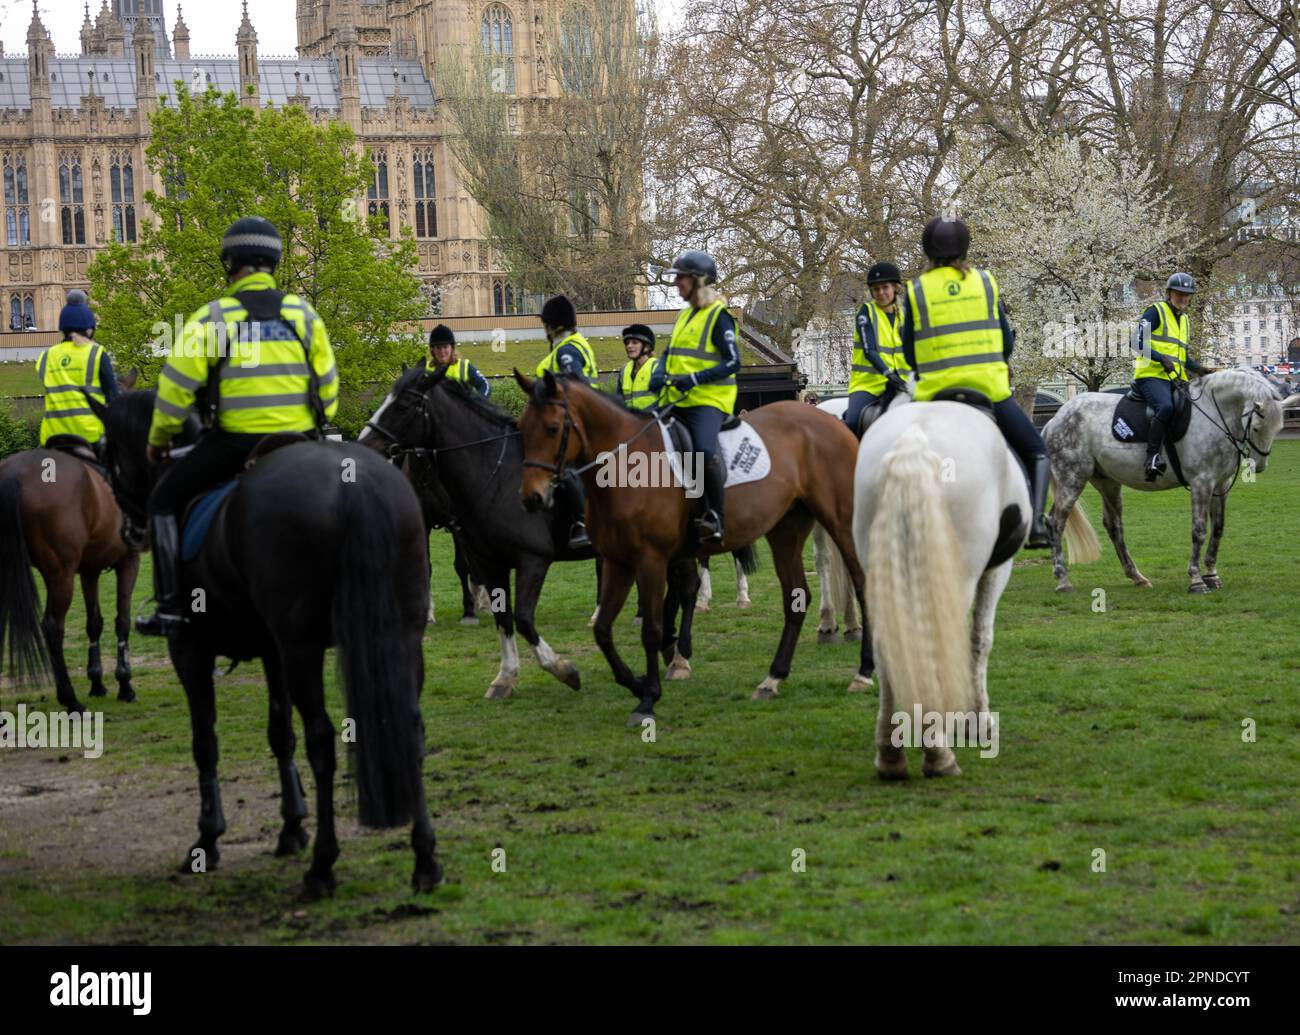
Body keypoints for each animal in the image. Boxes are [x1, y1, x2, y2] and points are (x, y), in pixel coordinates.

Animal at [0, 400, 141, 713]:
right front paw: (125, 684)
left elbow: (95, 623)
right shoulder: (129, 561)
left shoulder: (90, 570)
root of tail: (14, 472)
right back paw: (70, 700)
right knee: (53, 627)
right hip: (60, 575)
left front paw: (97, 682)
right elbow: (122, 620)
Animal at [90, 389, 440, 897]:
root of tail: (351, 484)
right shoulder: (272, 652)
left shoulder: (192, 654)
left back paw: (322, 867)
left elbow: (205, 741)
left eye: (106, 452)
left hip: (303, 650)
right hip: (399, 639)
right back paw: (425, 858)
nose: (129, 532)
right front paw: (292, 826)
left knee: (322, 742)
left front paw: (208, 838)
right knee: (410, 730)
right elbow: (280, 734)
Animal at [514, 370, 871, 724]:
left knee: (861, 583)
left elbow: (652, 629)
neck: (626, 468)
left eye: (552, 428)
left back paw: (863, 672)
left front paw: (648, 698)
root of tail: (830, 418)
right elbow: (602, 630)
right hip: (786, 530)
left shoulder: (651, 561)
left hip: (841, 522)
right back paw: (772, 679)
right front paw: (628, 681)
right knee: (796, 597)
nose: (532, 497)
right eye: (522, 428)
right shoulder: (619, 562)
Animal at [854, 401, 1031, 779]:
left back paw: (890, 754)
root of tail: (915, 441)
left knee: (887, 645)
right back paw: (938, 753)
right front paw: (976, 723)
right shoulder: (995, 570)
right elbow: (978, 640)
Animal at [1044, 369, 1300, 593]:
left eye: (1278, 427)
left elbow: (1218, 528)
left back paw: (1137, 577)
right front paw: (1196, 580)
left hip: (1107, 481)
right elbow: (1199, 530)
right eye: (1256, 427)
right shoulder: (1201, 482)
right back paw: (1063, 580)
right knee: (1056, 521)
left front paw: (1212, 575)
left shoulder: (1220, 484)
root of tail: (1057, 417)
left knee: (1113, 525)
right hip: (1072, 477)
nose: (1260, 465)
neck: (1213, 412)